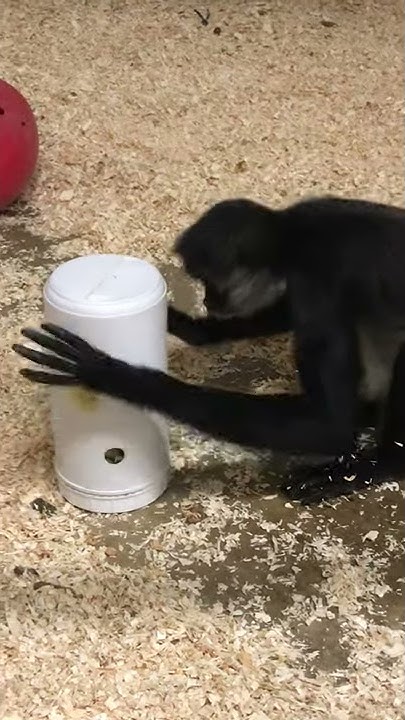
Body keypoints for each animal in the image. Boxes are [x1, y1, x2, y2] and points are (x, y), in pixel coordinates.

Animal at [12, 195, 405, 504]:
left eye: (211, 282)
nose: (207, 300)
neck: (294, 235)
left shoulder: (316, 280)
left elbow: (331, 426)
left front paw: (109, 374)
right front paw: (194, 329)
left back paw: (379, 465)